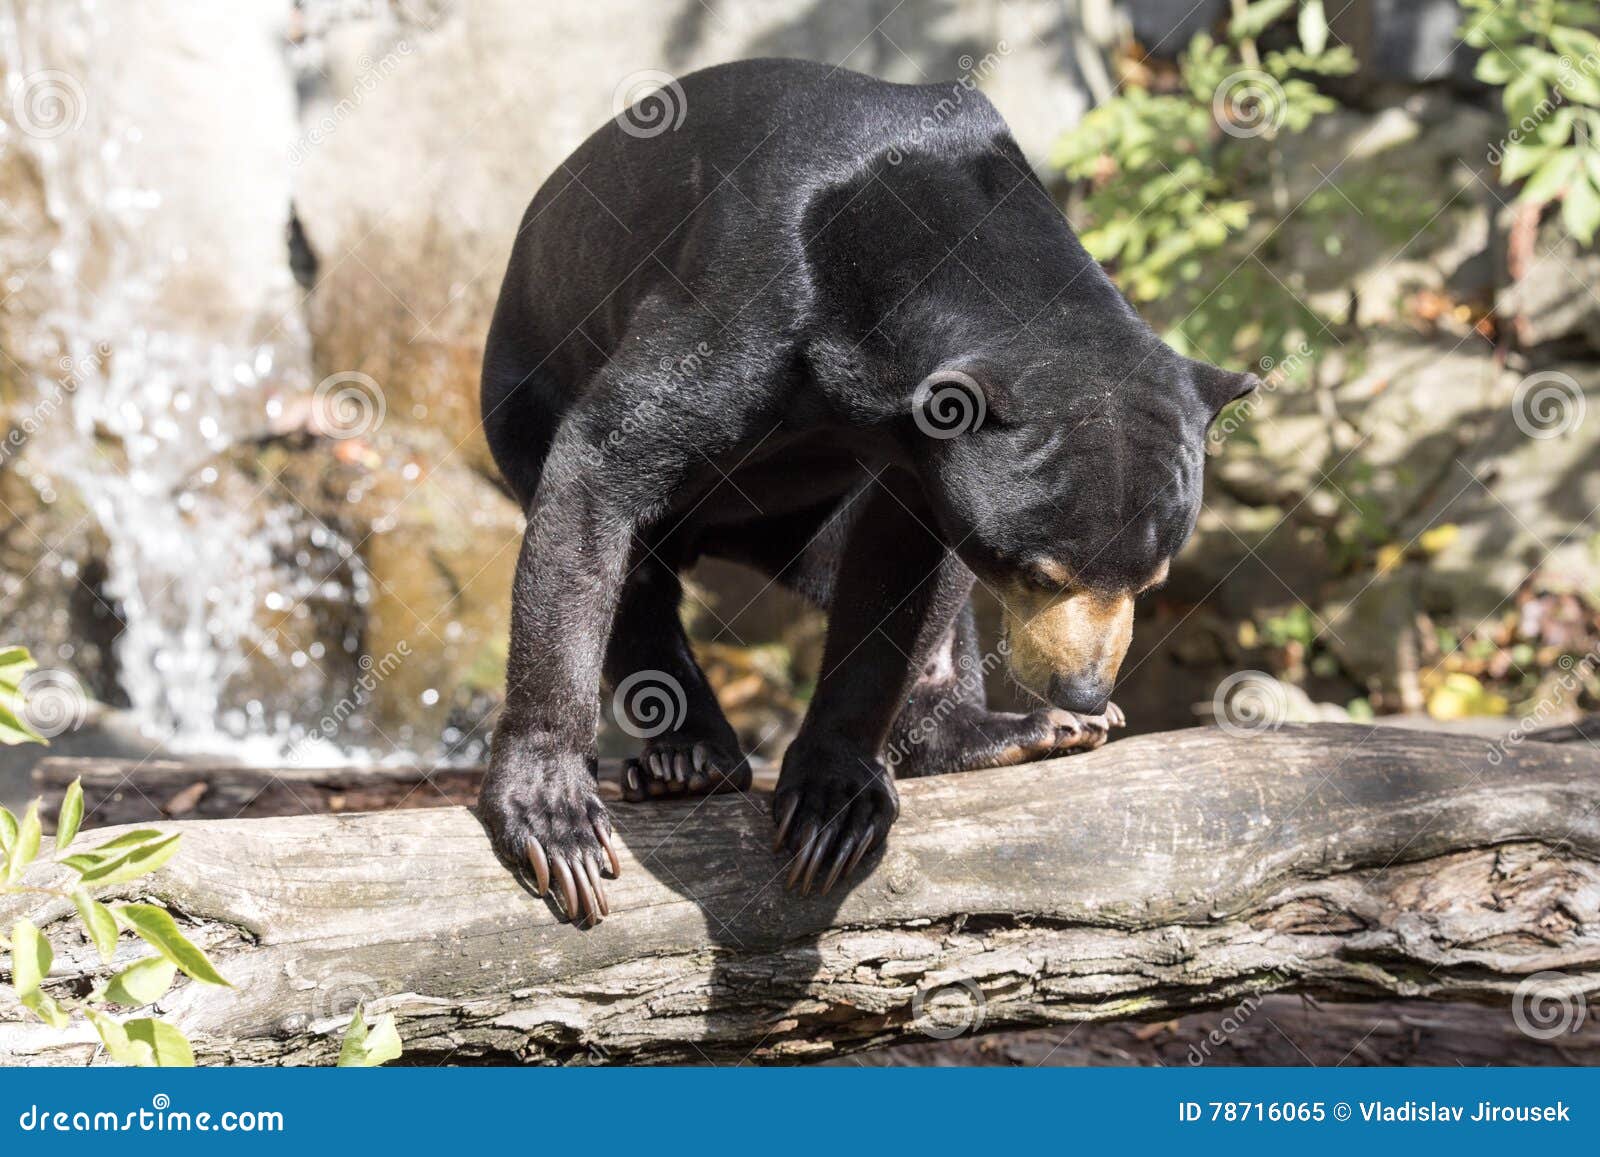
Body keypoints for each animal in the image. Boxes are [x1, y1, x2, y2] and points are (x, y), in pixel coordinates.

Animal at [477, 58, 1257, 925]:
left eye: (1151, 583)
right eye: (1039, 572)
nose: (1085, 688)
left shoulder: (924, 459)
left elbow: (898, 575)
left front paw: (834, 807)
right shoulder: (747, 298)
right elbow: (605, 461)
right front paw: (555, 821)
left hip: (811, 518)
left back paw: (1015, 730)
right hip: (522, 389)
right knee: (630, 572)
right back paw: (689, 757)